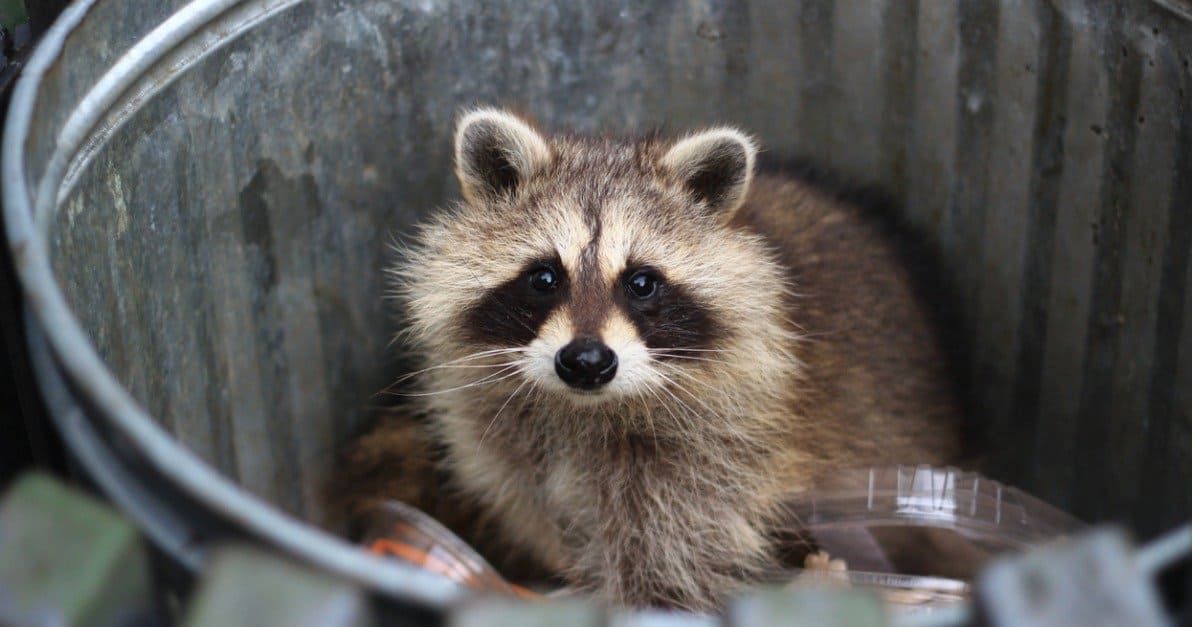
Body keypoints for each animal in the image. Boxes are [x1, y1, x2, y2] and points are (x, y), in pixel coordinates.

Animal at [337, 108, 966, 612]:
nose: (586, 361)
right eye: (544, 277)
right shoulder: (501, 441)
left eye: (641, 282)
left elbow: (669, 568)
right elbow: (533, 506)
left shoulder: (717, 460)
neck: (583, 410)